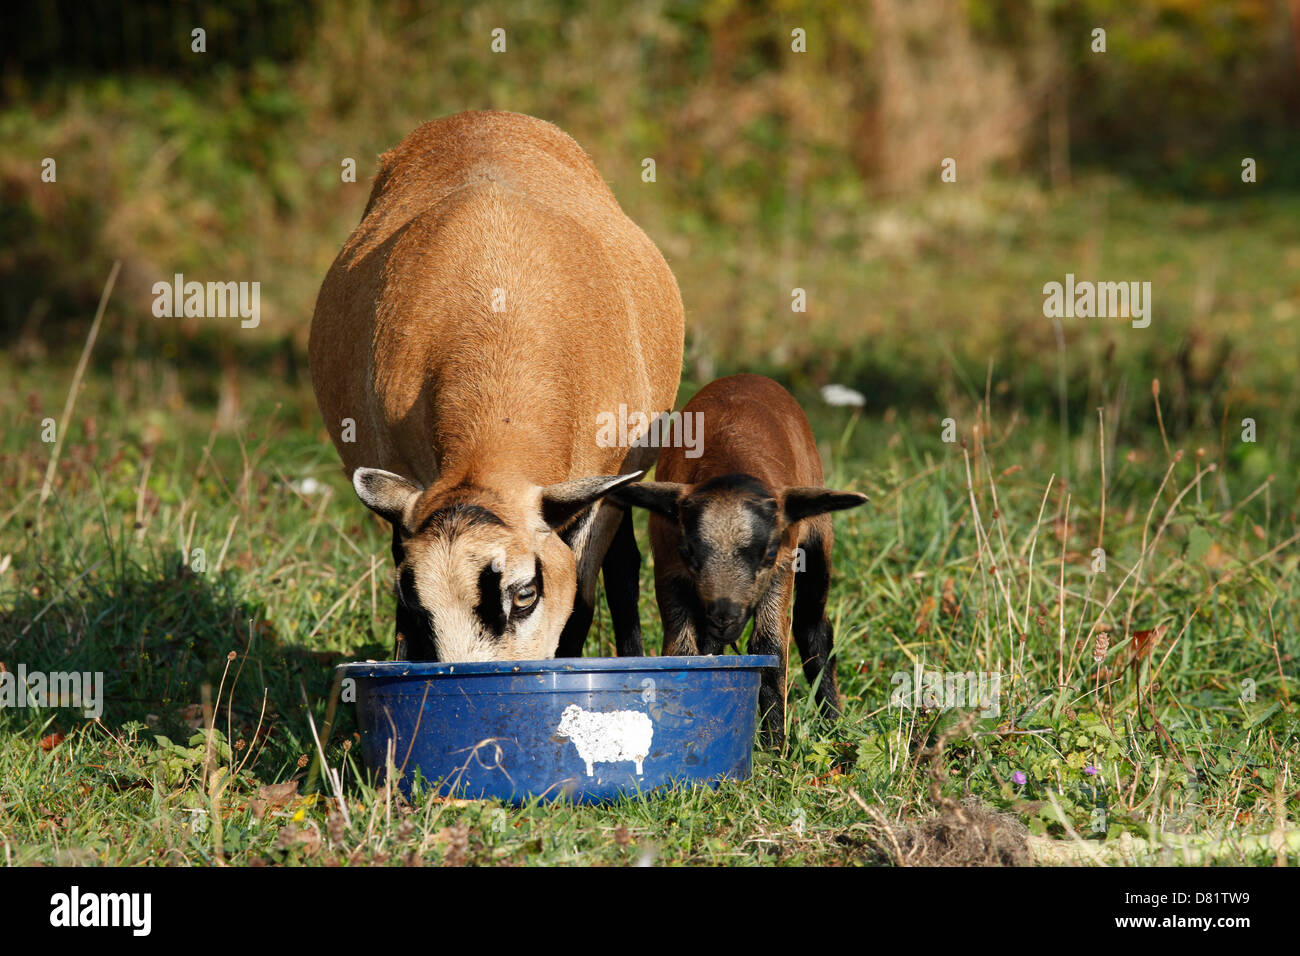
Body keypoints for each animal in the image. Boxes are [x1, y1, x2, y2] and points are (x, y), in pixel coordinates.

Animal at [309, 111, 683, 662]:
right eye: (421, 608)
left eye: (525, 594)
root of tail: (481, 116)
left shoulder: (595, 495)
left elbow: (580, 603)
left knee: (622, 568)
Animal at [611, 374, 867, 749]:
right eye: (689, 552)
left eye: (768, 553)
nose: (725, 615)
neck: (729, 461)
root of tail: (747, 376)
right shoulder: (669, 569)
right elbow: (683, 651)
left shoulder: (783, 566)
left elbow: (769, 648)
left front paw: (775, 746)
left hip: (818, 542)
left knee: (813, 629)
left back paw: (835, 724)